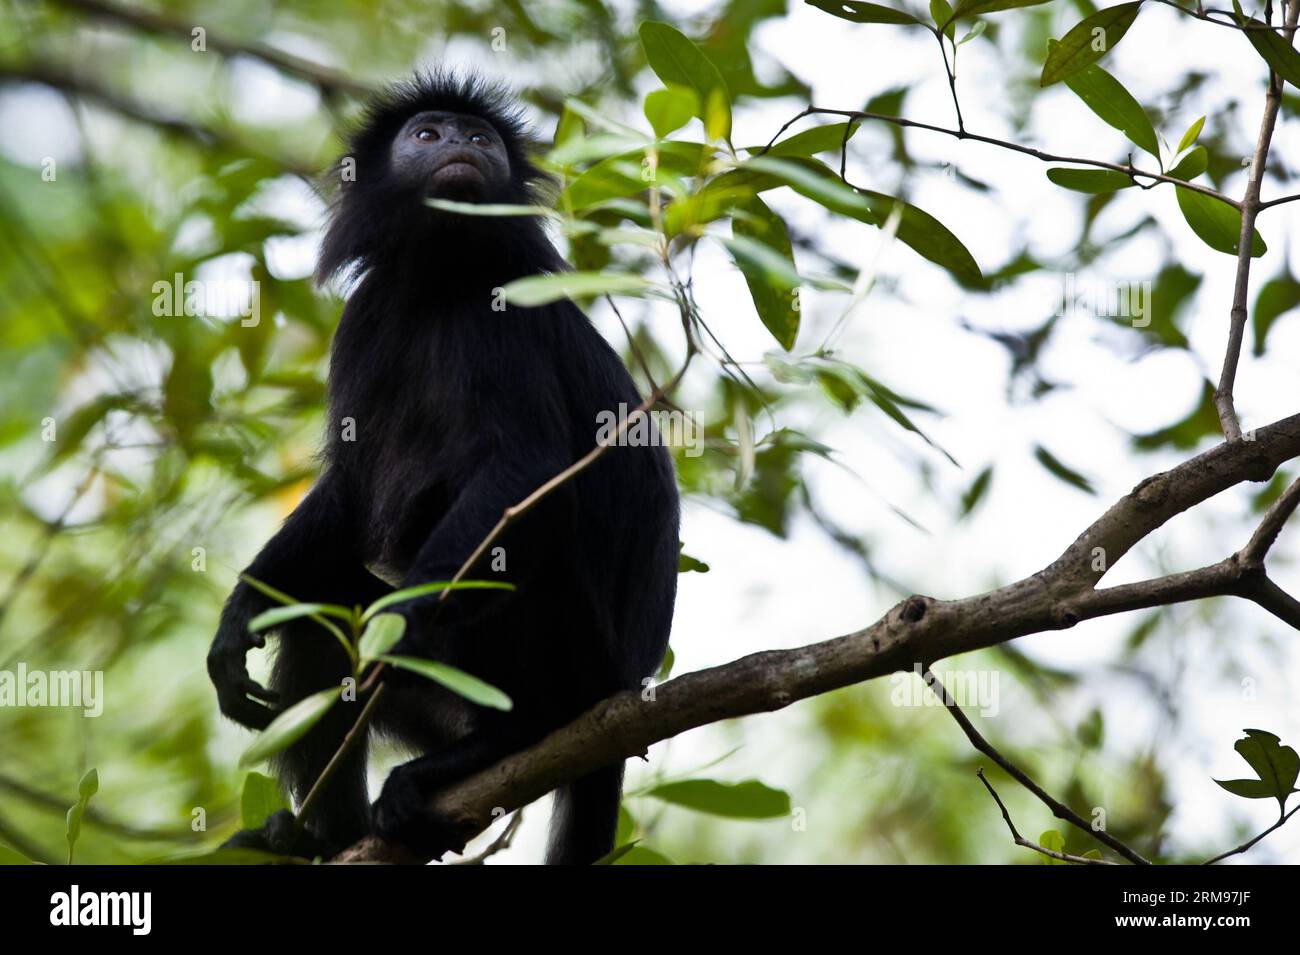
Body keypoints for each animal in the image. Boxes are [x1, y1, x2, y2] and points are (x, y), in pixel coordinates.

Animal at [207, 72, 679, 864]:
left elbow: (523, 471)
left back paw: (508, 737)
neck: (438, 273)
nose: (461, 142)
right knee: (320, 614)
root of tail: (624, 694)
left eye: (479, 137)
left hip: (572, 659)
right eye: (428, 135)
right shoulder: (366, 315)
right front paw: (238, 615)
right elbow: (349, 485)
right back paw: (329, 836)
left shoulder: (501, 307)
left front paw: (398, 625)